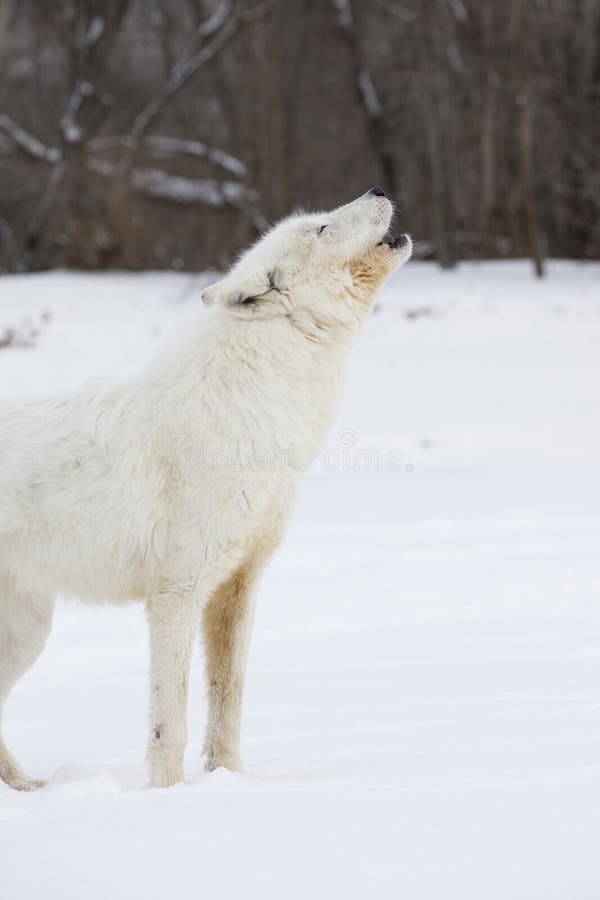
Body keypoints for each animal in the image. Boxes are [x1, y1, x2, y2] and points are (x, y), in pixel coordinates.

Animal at [0, 188, 411, 789]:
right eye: (320, 228)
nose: (378, 192)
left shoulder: (238, 586)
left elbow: (227, 699)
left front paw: (228, 780)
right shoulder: (177, 592)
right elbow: (169, 723)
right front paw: (169, 796)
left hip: (29, 634)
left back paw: (25, 788)